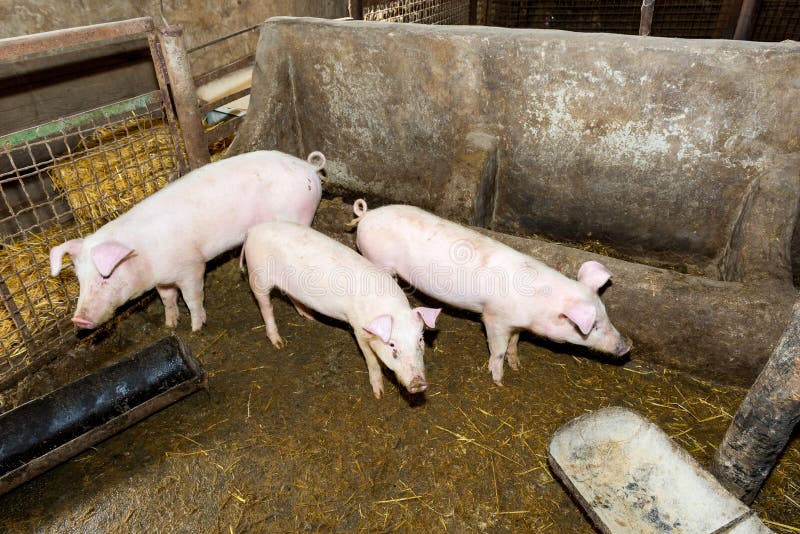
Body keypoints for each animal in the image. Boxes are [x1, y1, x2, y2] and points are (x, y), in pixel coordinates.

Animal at [49, 150, 325, 332]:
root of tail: (309, 168)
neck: (144, 257)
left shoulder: (191, 266)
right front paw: (170, 325)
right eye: (80, 280)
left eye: (104, 278)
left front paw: (195, 328)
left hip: (298, 213)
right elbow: (167, 299)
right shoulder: (162, 280)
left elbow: (193, 298)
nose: (78, 320)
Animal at [241, 221, 441, 398]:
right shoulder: (358, 329)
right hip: (258, 276)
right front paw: (379, 395)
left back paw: (308, 316)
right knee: (265, 307)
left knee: (290, 295)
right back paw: (279, 343)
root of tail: (252, 231)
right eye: (392, 344)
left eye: (420, 339)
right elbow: (371, 360)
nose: (418, 383)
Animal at [349, 200, 631, 386]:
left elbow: (515, 342)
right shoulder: (494, 318)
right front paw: (498, 381)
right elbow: (498, 349)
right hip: (377, 259)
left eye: (607, 315)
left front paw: (517, 366)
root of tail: (367, 215)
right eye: (592, 326)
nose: (626, 346)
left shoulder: (517, 323)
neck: (538, 306)